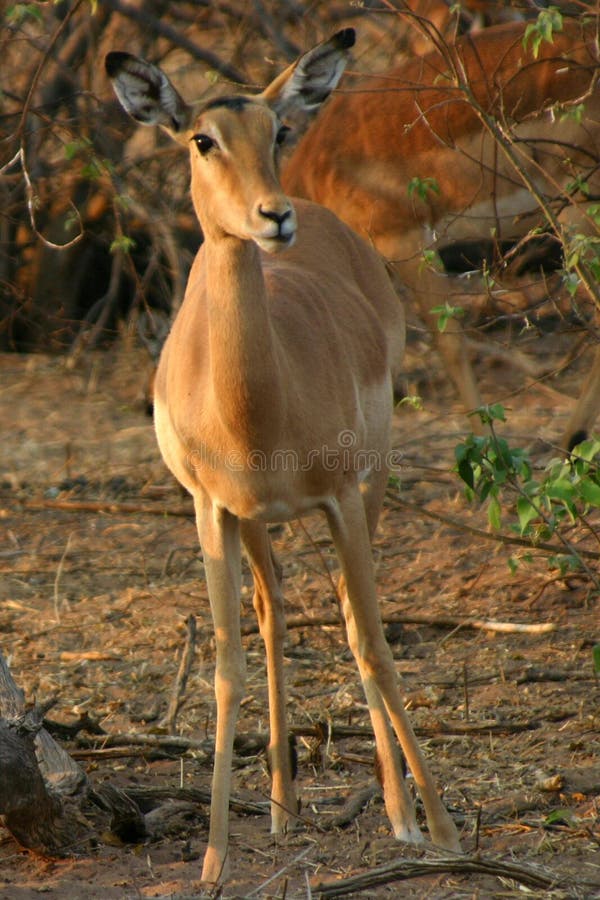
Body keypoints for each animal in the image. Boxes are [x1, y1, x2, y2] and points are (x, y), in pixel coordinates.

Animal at [106, 31, 461, 884]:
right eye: (200, 139)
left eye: (279, 131)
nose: (274, 216)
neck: (255, 408)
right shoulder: (211, 510)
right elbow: (227, 663)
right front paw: (210, 863)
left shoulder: (339, 496)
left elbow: (373, 644)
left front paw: (438, 829)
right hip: (256, 522)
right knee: (274, 615)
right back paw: (279, 806)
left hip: (372, 483)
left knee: (349, 622)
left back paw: (397, 813)